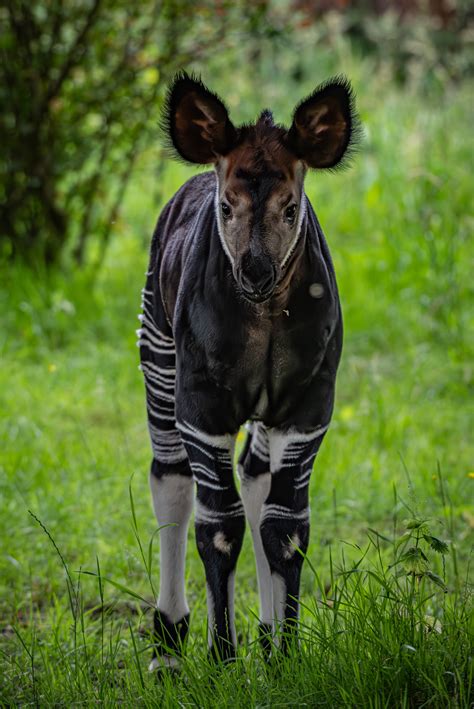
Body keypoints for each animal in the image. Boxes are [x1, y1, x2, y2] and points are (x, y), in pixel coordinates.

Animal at [138, 72, 359, 669]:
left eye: (290, 208)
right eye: (226, 206)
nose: (256, 272)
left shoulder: (306, 410)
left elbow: (286, 528)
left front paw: (285, 659)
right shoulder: (204, 409)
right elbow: (219, 527)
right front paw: (221, 661)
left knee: (256, 480)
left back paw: (262, 634)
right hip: (158, 357)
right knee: (171, 478)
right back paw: (168, 645)